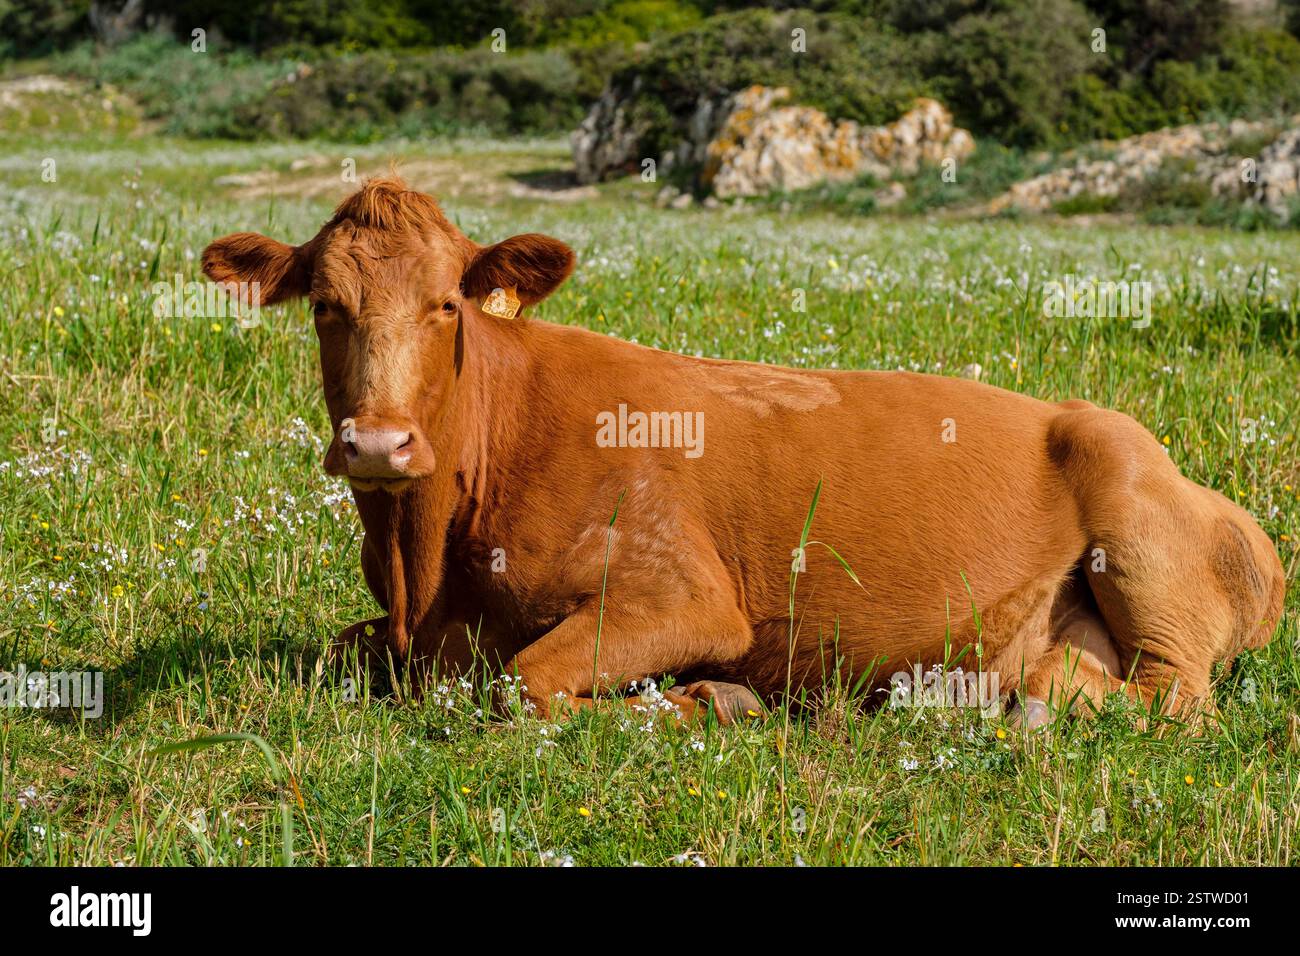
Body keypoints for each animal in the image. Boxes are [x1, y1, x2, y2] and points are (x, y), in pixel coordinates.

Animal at [202, 176, 1286, 728]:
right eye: (325, 305)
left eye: (446, 306)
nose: (380, 441)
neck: (423, 567)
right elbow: (339, 651)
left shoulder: (680, 593)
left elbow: (529, 682)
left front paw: (707, 699)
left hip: (1137, 529)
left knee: (1167, 696)